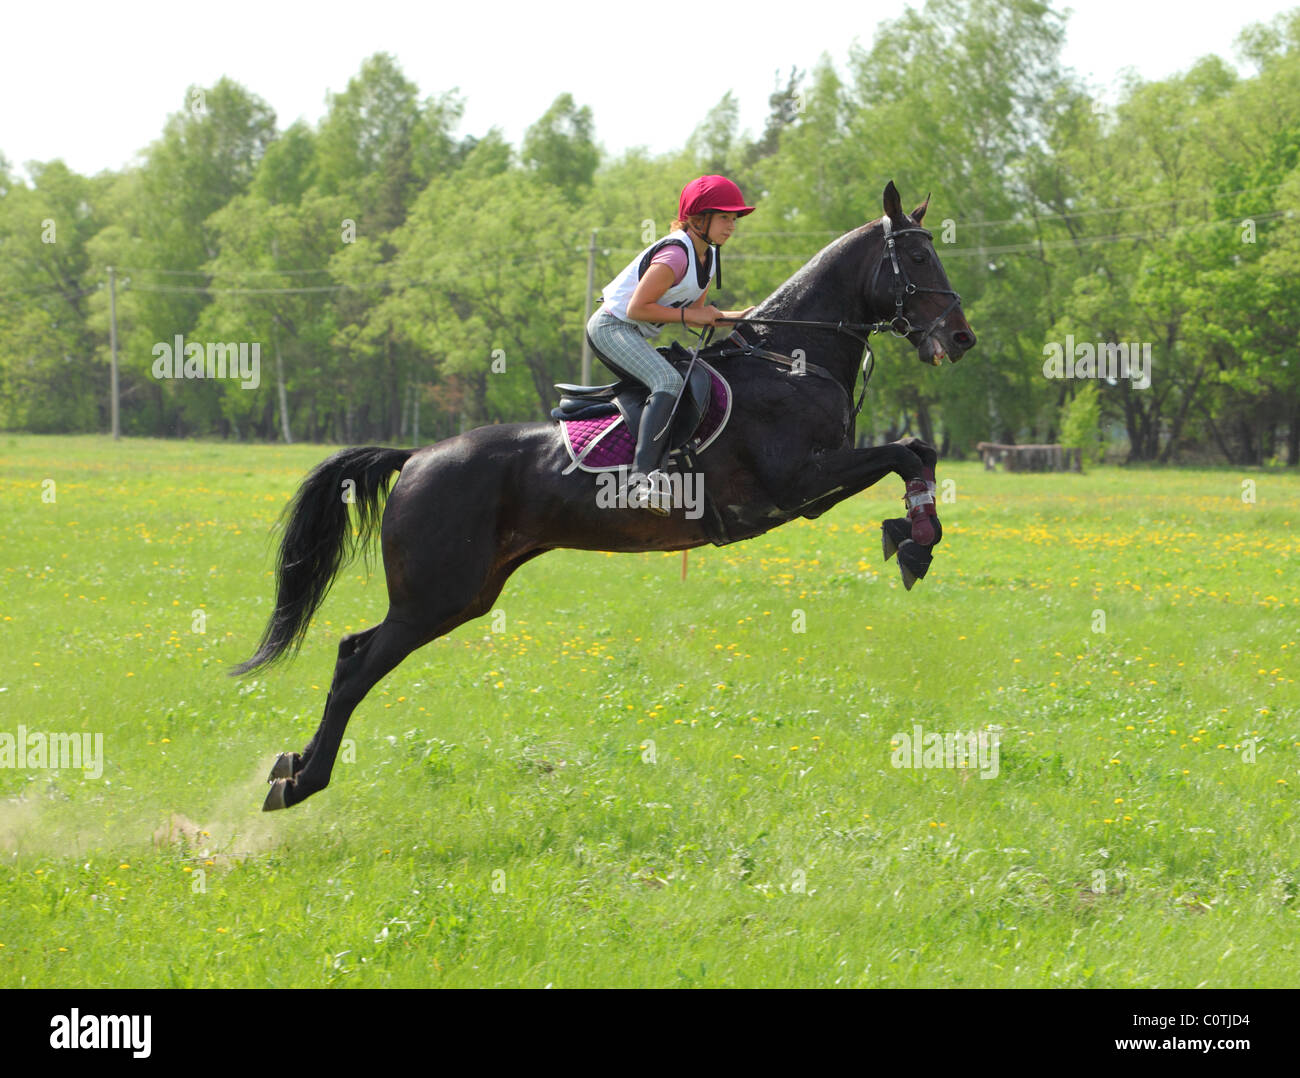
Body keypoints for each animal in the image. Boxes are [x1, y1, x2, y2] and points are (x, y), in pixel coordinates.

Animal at [234, 181, 976, 810]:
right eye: (916, 255)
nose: (962, 338)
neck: (792, 361)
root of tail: (416, 457)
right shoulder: (797, 484)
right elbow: (903, 451)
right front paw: (914, 542)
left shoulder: (812, 488)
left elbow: (920, 451)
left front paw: (915, 539)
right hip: (435, 594)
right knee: (356, 662)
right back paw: (298, 782)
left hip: (468, 594)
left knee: (355, 654)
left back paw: (292, 769)